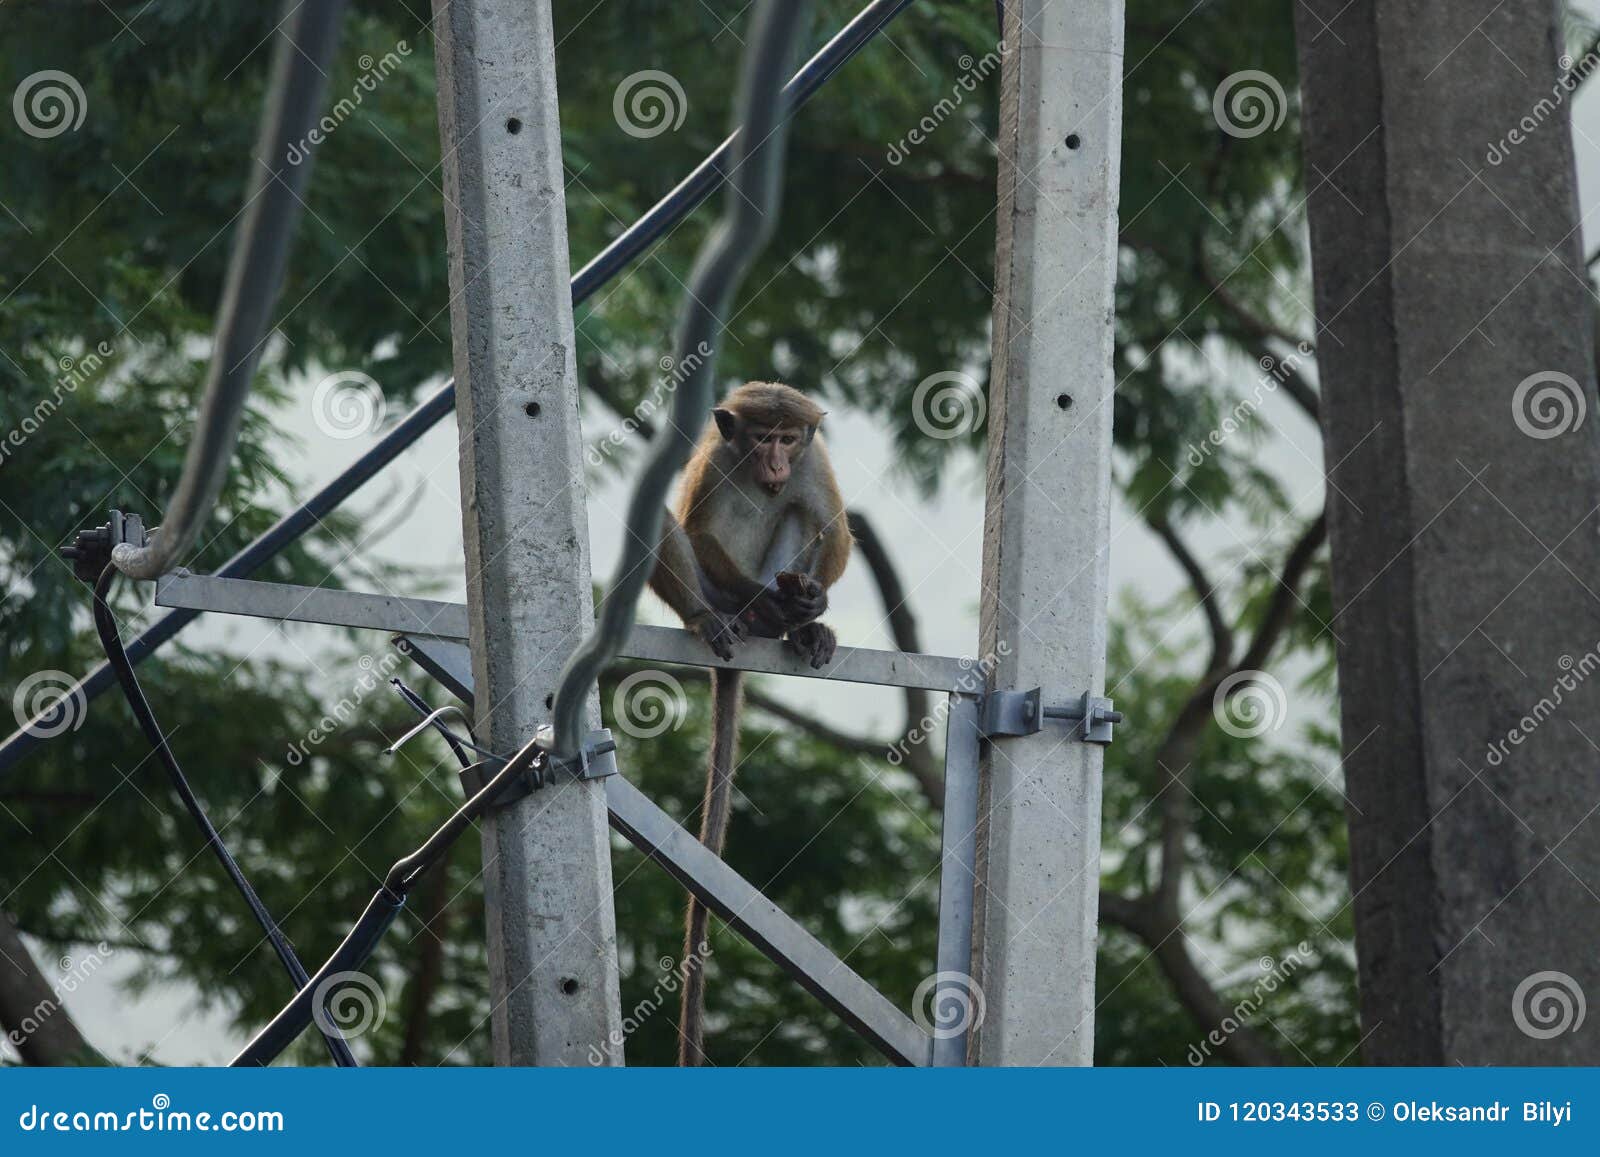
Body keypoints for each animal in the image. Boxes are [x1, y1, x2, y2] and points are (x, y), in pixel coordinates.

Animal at [646, 380, 851, 1066]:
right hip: (714, 594)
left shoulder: (815, 466)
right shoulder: (714, 460)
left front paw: (812, 602)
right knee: (667, 529)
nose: (778, 463)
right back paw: (724, 616)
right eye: (763, 438)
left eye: (789, 438)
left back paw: (798, 624)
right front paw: (768, 601)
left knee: (801, 521)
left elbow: (833, 530)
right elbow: (697, 527)